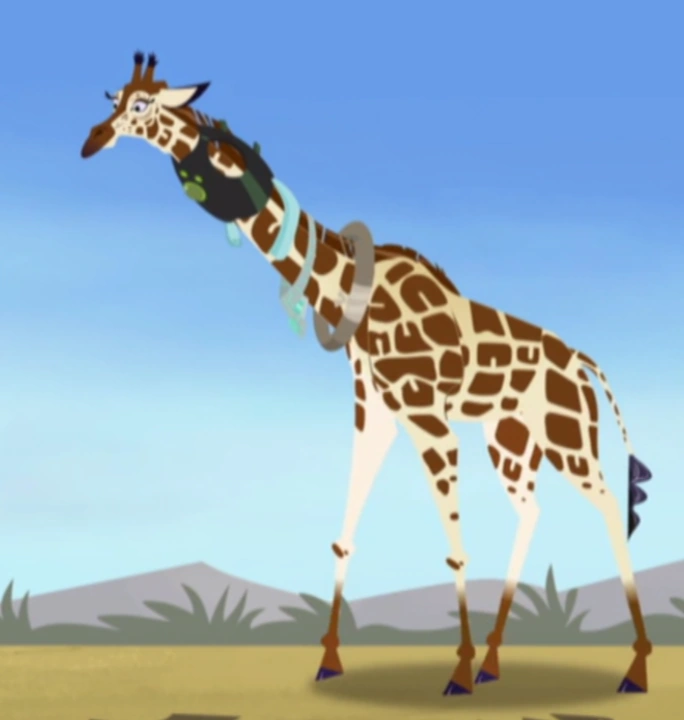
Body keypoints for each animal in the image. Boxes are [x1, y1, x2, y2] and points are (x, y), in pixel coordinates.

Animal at [80, 53, 654, 696]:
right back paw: (494, 662)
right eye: (113, 100)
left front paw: (456, 670)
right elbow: (346, 531)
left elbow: (453, 546)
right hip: (510, 439)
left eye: (140, 106)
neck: (351, 291)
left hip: (566, 433)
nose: (91, 140)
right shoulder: (374, 410)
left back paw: (632, 668)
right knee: (532, 512)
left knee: (611, 507)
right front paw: (331, 658)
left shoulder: (427, 416)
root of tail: (582, 360)